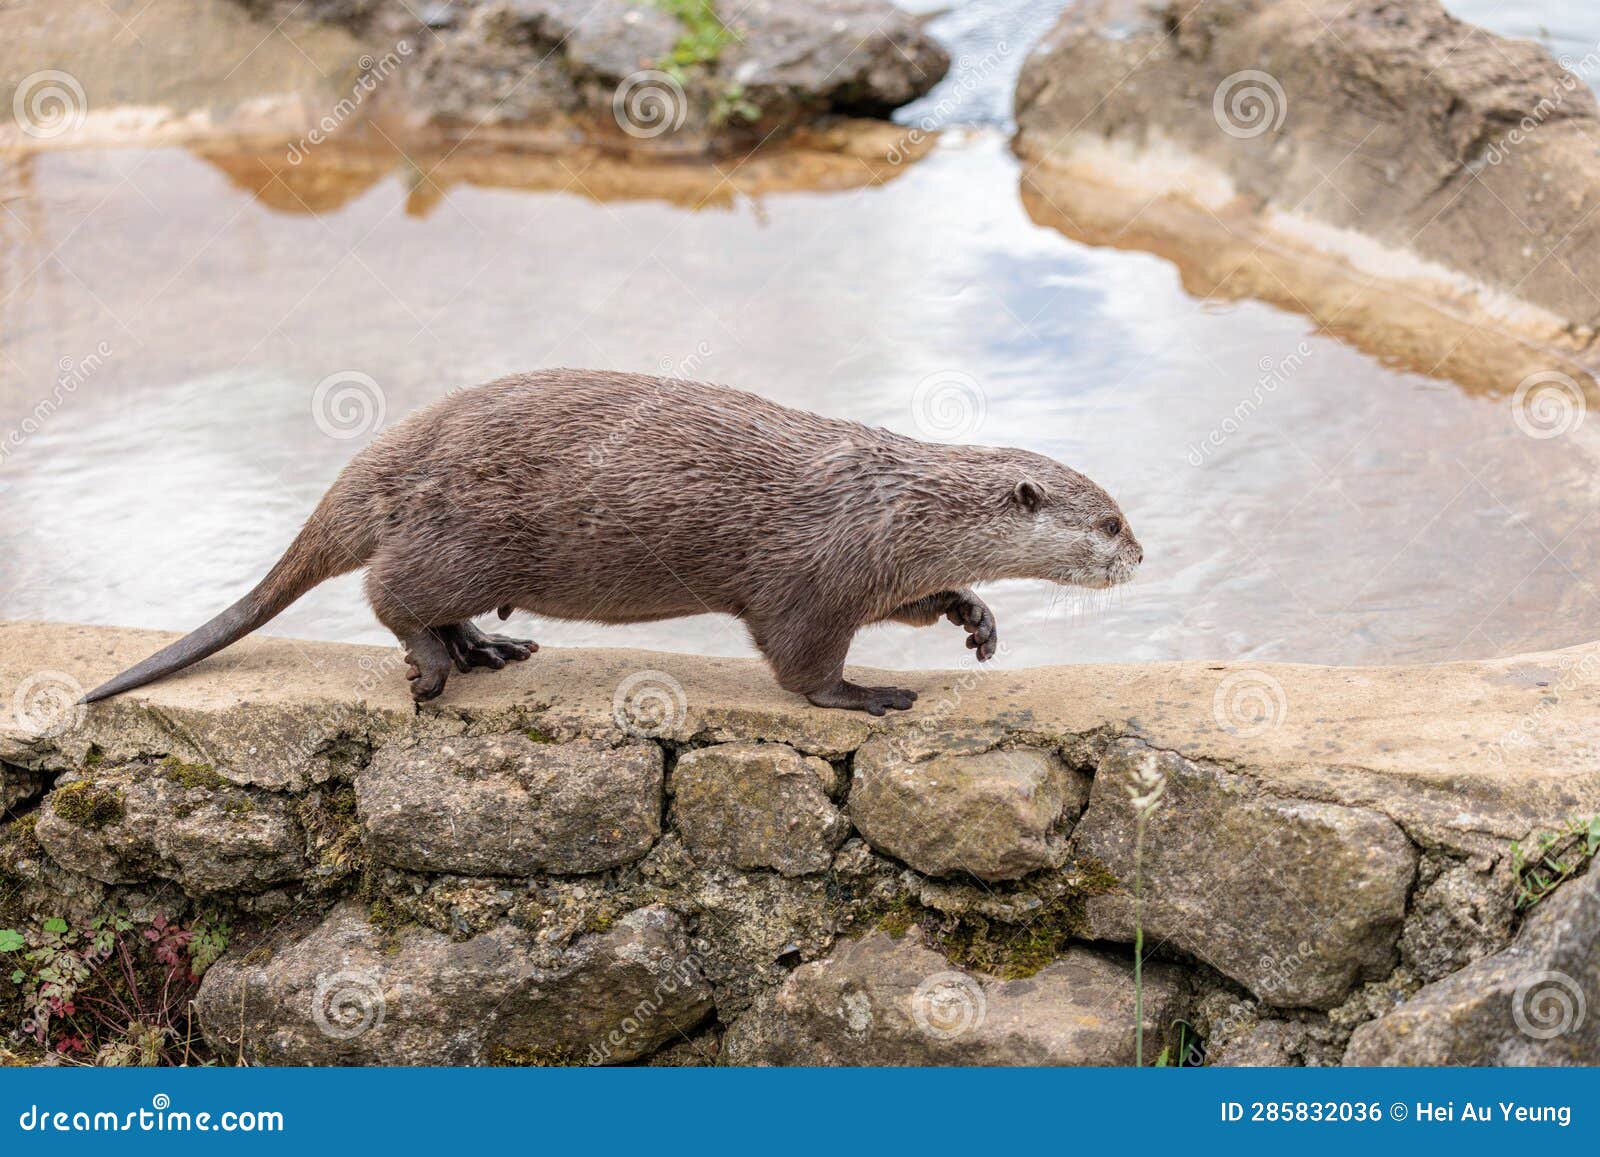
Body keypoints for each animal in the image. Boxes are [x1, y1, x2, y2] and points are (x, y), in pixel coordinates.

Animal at [82, 370, 1142, 715]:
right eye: (1113, 521)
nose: (1141, 556)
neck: (895, 504)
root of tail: (384, 456)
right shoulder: (816, 574)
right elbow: (803, 663)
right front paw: (867, 694)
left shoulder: (878, 565)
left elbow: (920, 599)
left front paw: (975, 614)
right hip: (456, 535)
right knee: (389, 595)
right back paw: (437, 664)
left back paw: (487, 646)